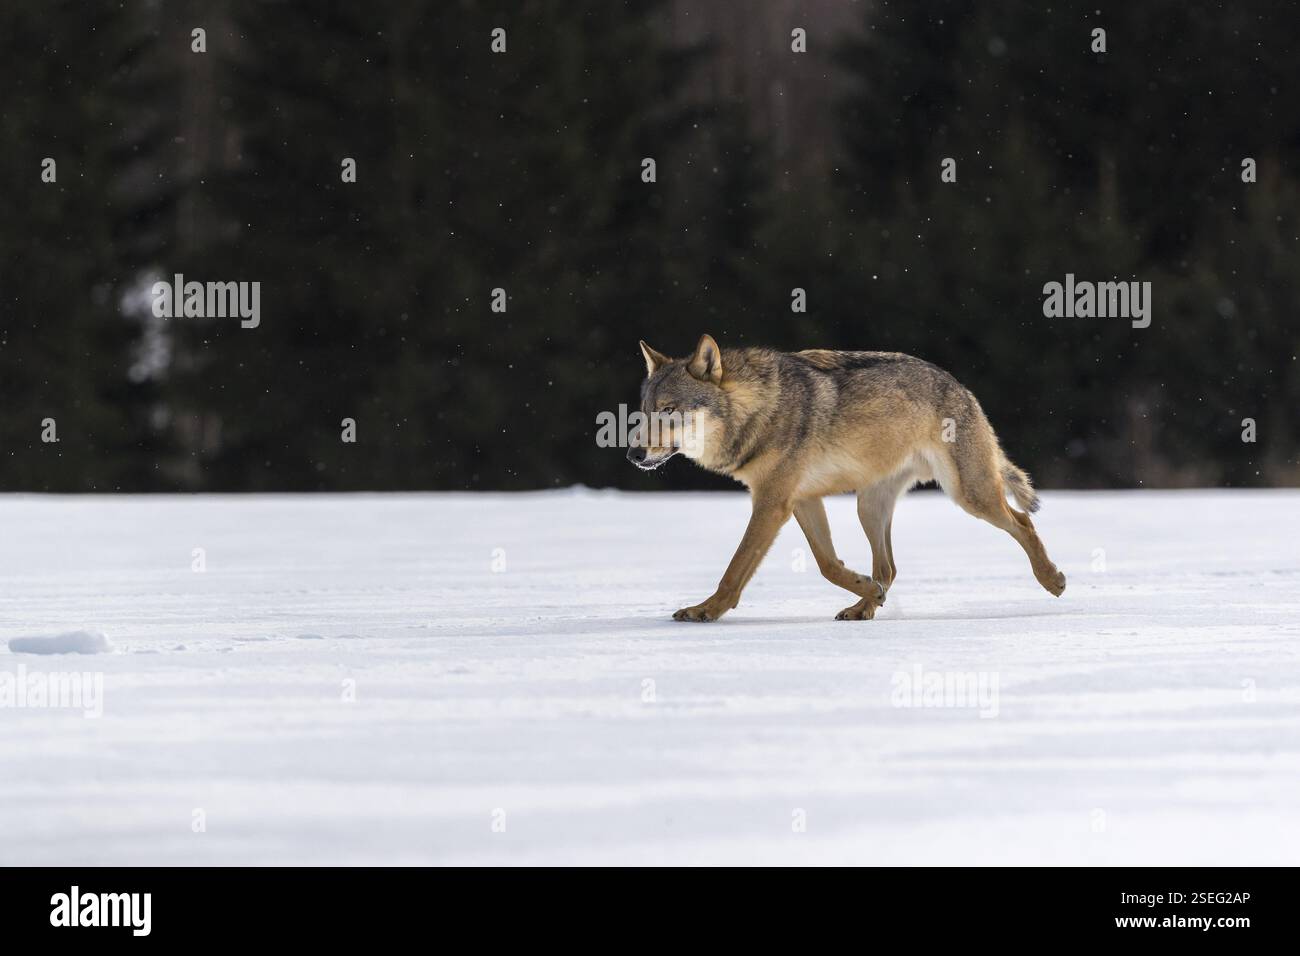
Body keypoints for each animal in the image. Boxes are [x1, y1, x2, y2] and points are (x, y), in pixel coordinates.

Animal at [626, 335, 1066, 621]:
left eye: (669, 410)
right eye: (644, 412)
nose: (633, 454)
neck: (760, 411)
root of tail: (960, 386)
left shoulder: (772, 503)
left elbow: (735, 569)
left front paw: (705, 611)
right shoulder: (801, 500)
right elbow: (827, 564)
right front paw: (867, 590)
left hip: (969, 495)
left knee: (1023, 523)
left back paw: (1052, 580)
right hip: (868, 507)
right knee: (888, 568)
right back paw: (864, 606)